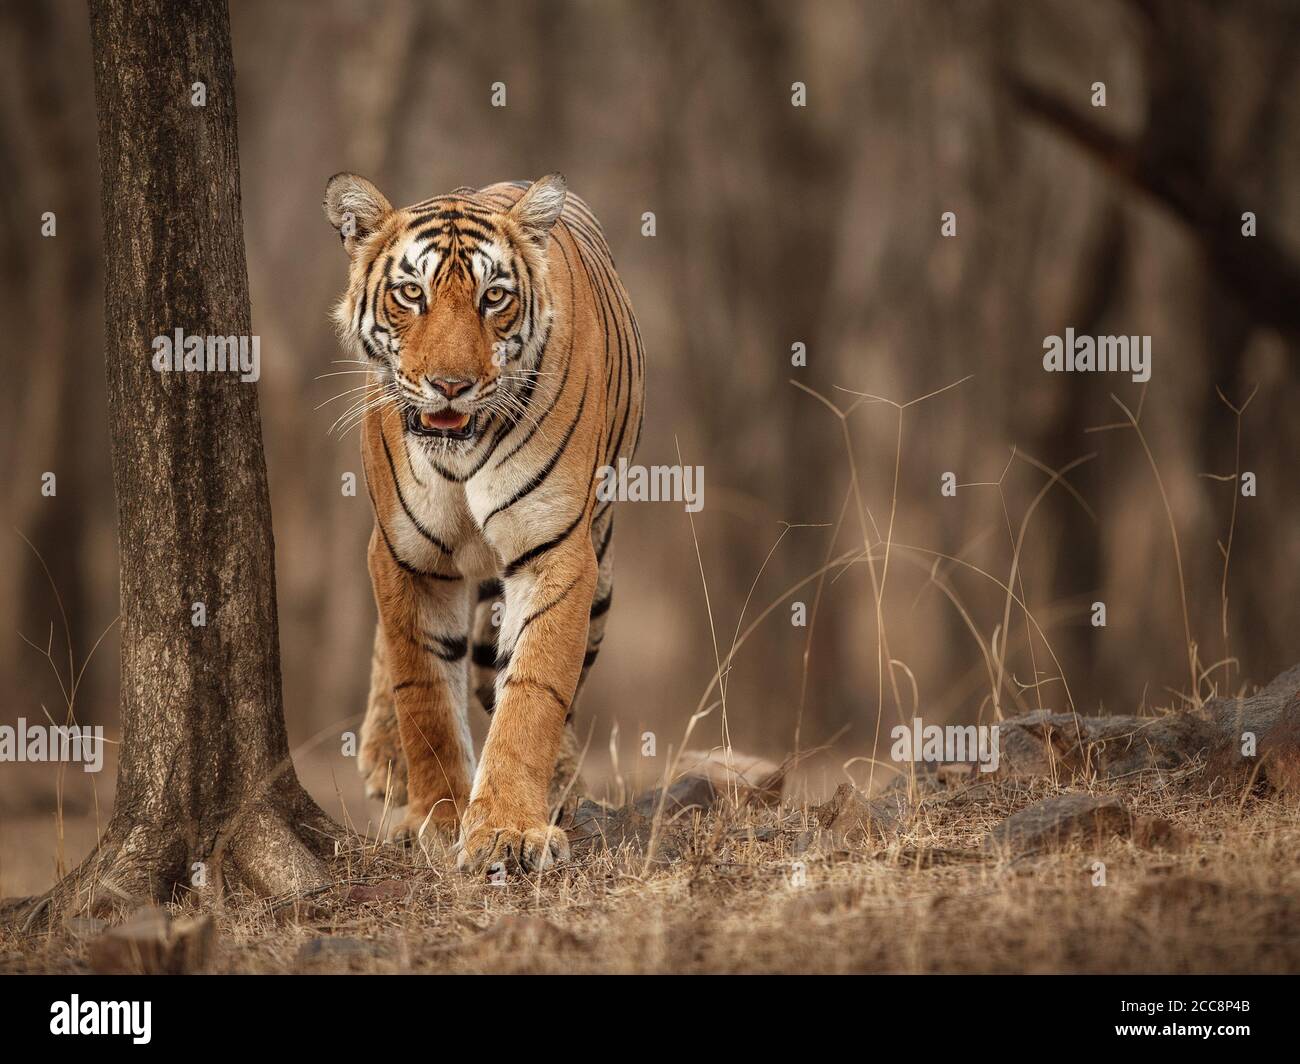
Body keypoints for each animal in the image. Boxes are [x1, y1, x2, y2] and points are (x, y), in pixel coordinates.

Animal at [323, 172, 644, 875]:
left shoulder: (555, 550)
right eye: (410, 293)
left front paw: (507, 830)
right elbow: (423, 692)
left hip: (603, 571)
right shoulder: (402, 555)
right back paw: (385, 758)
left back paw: (560, 785)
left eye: (493, 297)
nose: (450, 385)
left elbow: (532, 693)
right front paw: (440, 818)